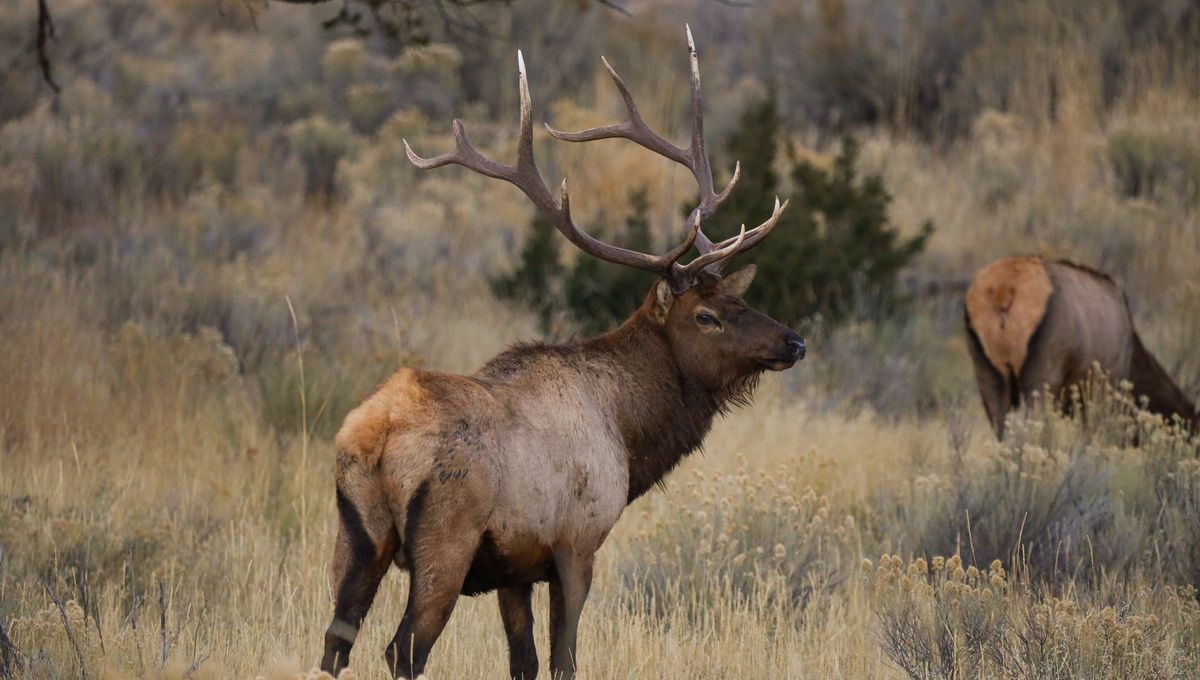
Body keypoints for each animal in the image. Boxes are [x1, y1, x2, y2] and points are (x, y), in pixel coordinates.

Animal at [318, 28, 805, 680]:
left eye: (738, 297)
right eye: (707, 316)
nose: (794, 341)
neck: (629, 432)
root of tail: (377, 432)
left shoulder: (514, 570)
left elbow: (522, 659)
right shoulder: (577, 543)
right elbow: (564, 658)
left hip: (356, 536)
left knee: (335, 641)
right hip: (445, 537)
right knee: (404, 648)